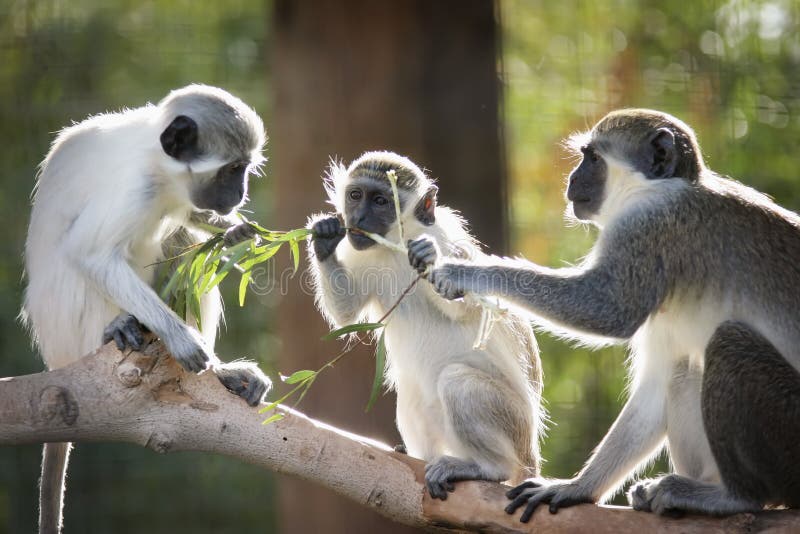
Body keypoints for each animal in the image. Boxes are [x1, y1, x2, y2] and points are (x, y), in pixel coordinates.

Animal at [21, 84, 272, 533]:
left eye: (244, 171)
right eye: (232, 170)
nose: (239, 194)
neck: (155, 159)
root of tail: (57, 359)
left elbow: (192, 215)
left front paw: (236, 230)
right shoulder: (134, 189)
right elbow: (90, 253)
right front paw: (181, 340)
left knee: (179, 240)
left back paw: (223, 374)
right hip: (74, 327)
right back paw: (119, 329)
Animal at [307, 151, 544, 500]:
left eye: (381, 200)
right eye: (355, 195)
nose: (359, 219)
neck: (398, 240)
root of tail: (530, 457)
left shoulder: (450, 245)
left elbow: (473, 305)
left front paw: (428, 258)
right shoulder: (361, 251)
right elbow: (346, 313)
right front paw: (324, 235)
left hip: (515, 424)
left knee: (458, 381)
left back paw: (489, 468)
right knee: (410, 391)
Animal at [409, 109, 800, 521]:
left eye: (593, 158)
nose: (571, 179)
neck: (665, 185)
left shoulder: (647, 227)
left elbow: (606, 309)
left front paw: (463, 272)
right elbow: (654, 385)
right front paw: (577, 487)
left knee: (729, 342)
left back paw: (735, 497)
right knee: (684, 368)